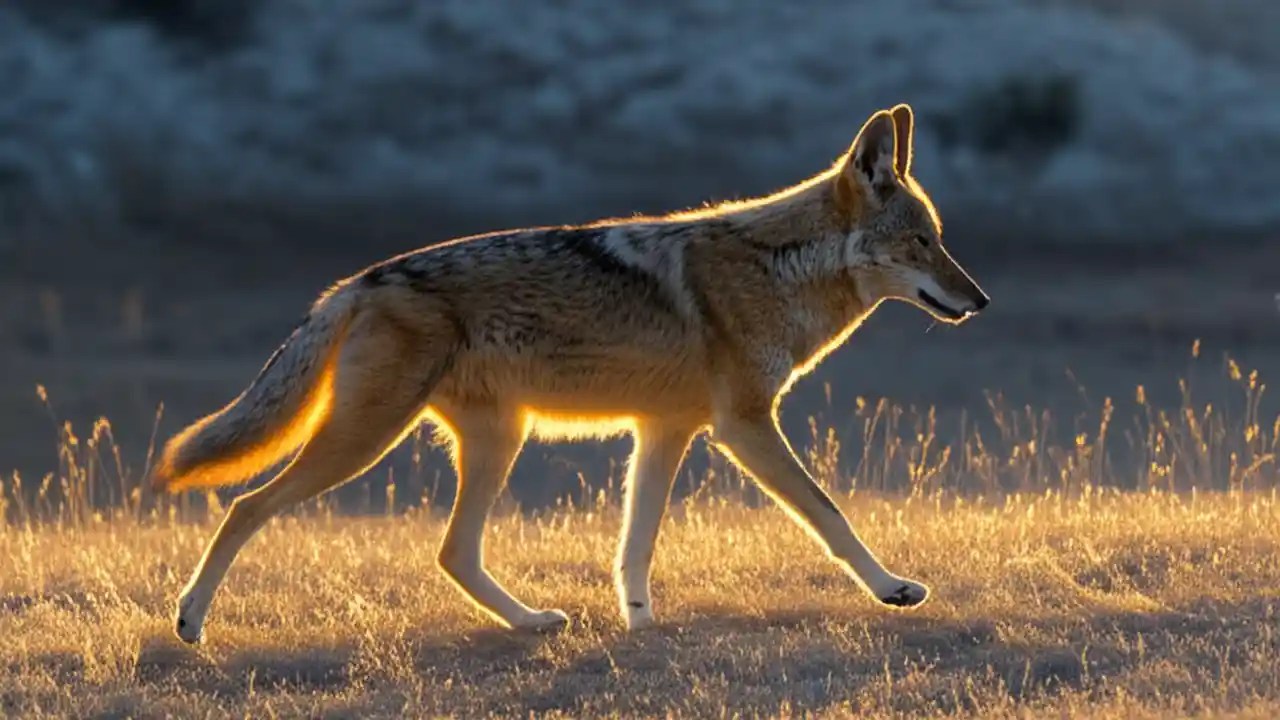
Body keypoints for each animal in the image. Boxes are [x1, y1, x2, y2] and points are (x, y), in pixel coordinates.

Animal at [152, 104, 989, 643]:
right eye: (921, 242)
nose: (980, 301)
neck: (775, 269)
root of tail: (354, 283)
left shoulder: (666, 431)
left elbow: (635, 545)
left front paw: (641, 624)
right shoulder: (744, 425)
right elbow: (831, 515)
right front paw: (893, 590)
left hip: (496, 440)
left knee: (452, 553)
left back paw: (531, 623)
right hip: (368, 440)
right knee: (246, 505)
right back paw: (189, 620)